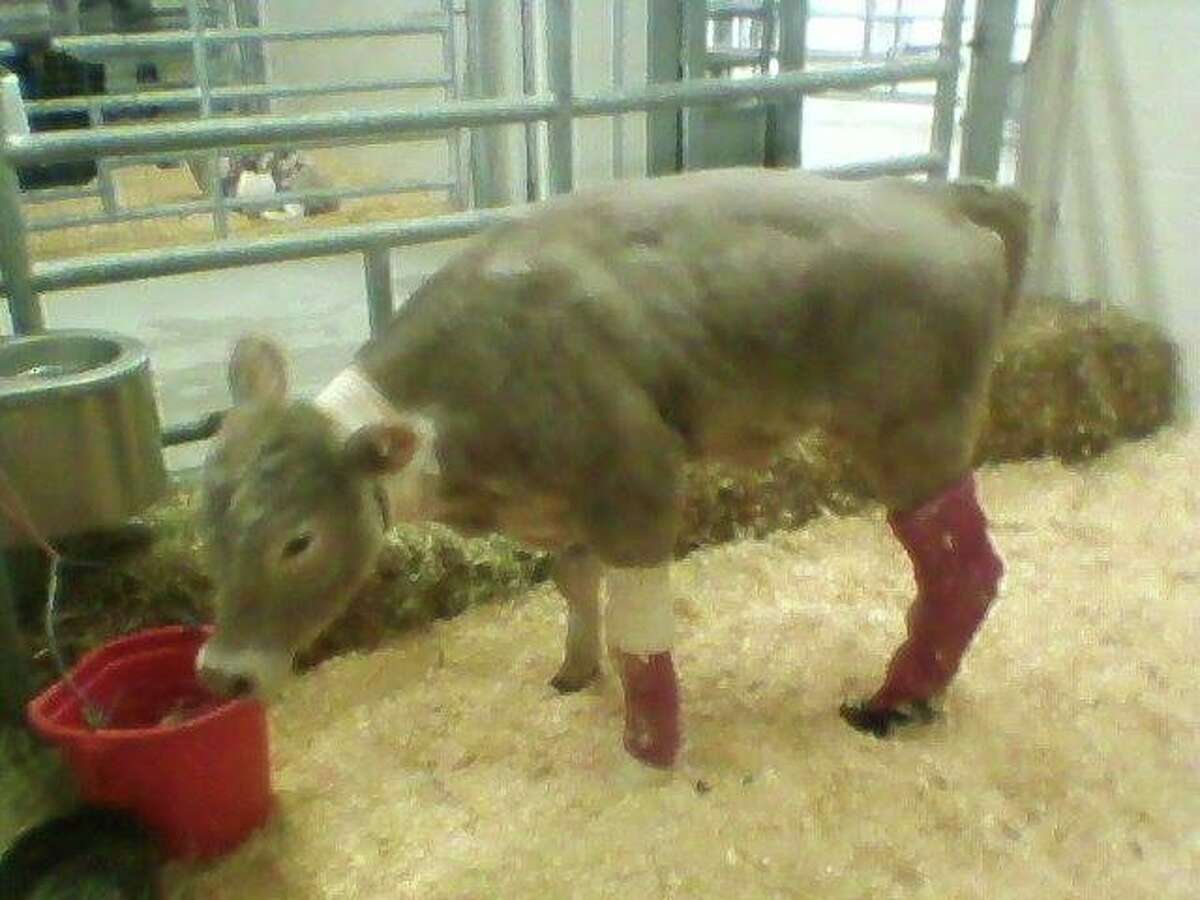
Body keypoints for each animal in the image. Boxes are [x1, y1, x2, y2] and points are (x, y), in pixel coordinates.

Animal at [195, 166, 1030, 769]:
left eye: (298, 541)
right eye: (209, 526)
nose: (220, 674)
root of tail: (938, 197)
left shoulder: (635, 481)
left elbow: (641, 633)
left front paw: (649, 746)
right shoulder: (564, 503)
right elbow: (576, 582)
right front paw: (574, 670)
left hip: (917, 435)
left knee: (961, 570)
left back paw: (895, 703)